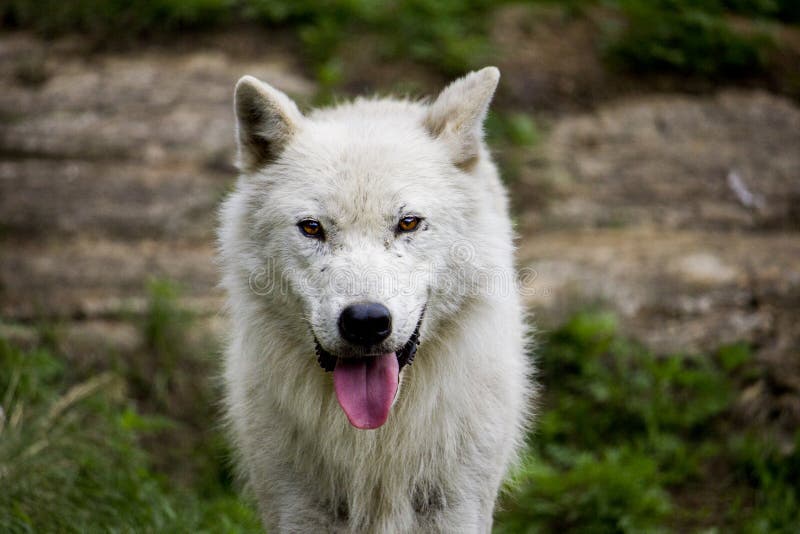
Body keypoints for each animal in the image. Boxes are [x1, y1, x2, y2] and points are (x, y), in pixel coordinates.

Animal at [217, 66, 533, 533]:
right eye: (311, 228)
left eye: (408, 223)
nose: (365, 321)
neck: (375, 443)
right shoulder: (298, 510)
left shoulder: (456, 508)